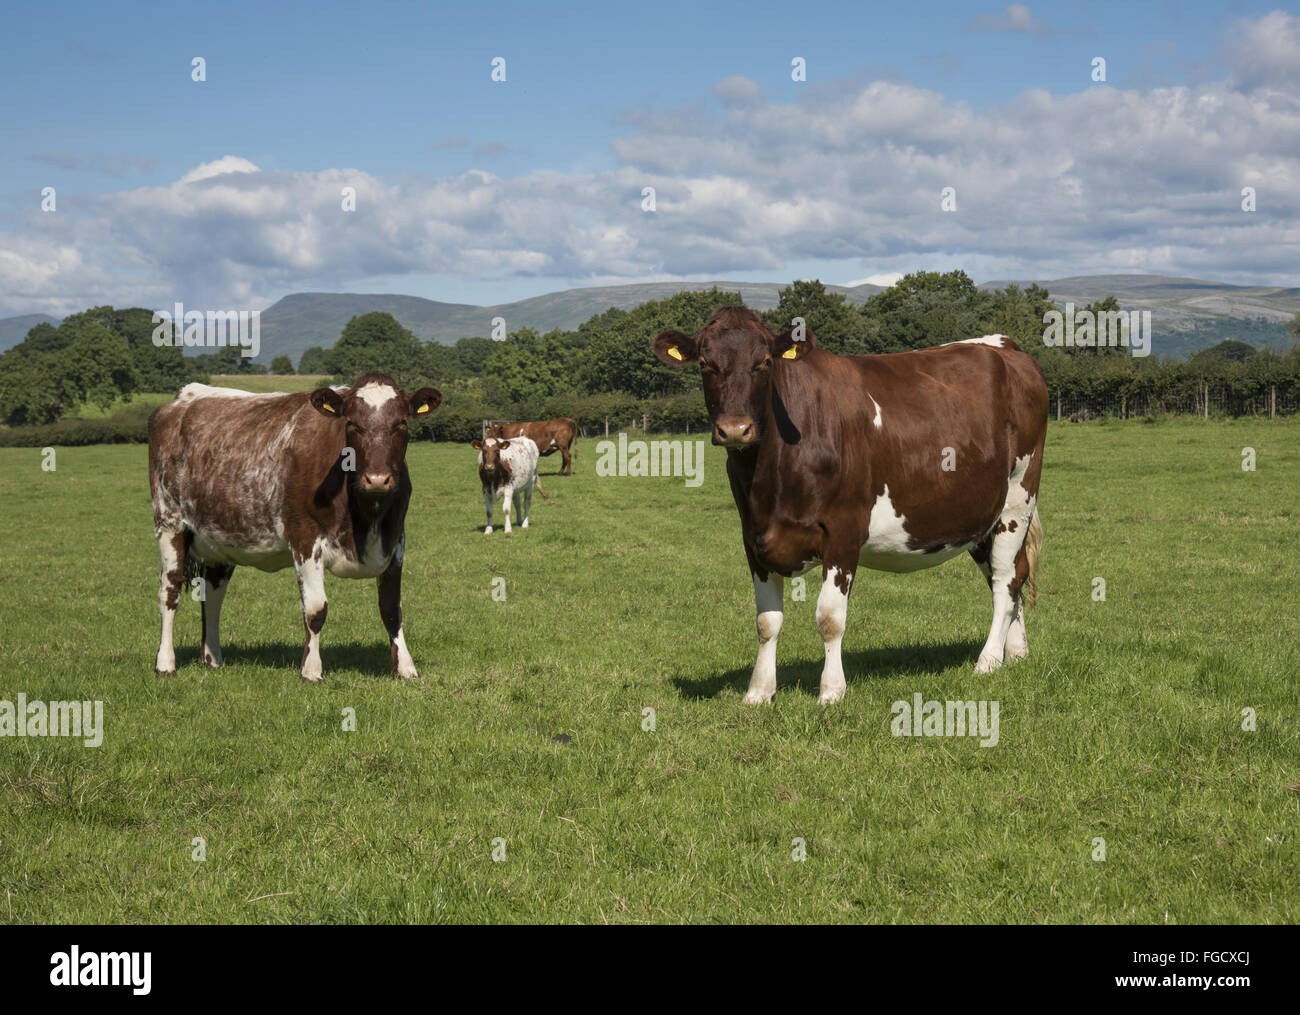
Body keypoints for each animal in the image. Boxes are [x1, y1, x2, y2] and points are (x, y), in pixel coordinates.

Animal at [148, 372, 442, 683]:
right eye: (352, 423)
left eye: (402, 423)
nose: (377, 479)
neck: (365, 520)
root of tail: (183, 397)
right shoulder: (305, 537)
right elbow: (316, 609)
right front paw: (311, 669)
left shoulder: (395, 540)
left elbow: (391, 609)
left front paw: (405, 667)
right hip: (170, 522)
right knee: (170, 591)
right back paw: (165, 662)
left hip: (219, 538)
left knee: (213, 595)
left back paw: (212, 657)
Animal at [651, 306, 1048, 704]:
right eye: (705, 364)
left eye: (763, 362)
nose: (735, 429)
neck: (770, 477)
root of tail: (1005, 346)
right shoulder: (754, 537)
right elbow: (766, 622)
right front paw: (759, 692)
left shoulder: (843, 532)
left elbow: (829, 618)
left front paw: (830, 691)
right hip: (979, 518)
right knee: (1010, 576)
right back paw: (1016, 653)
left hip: (1018, 498)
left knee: (1005, 580)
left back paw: (988, 661)